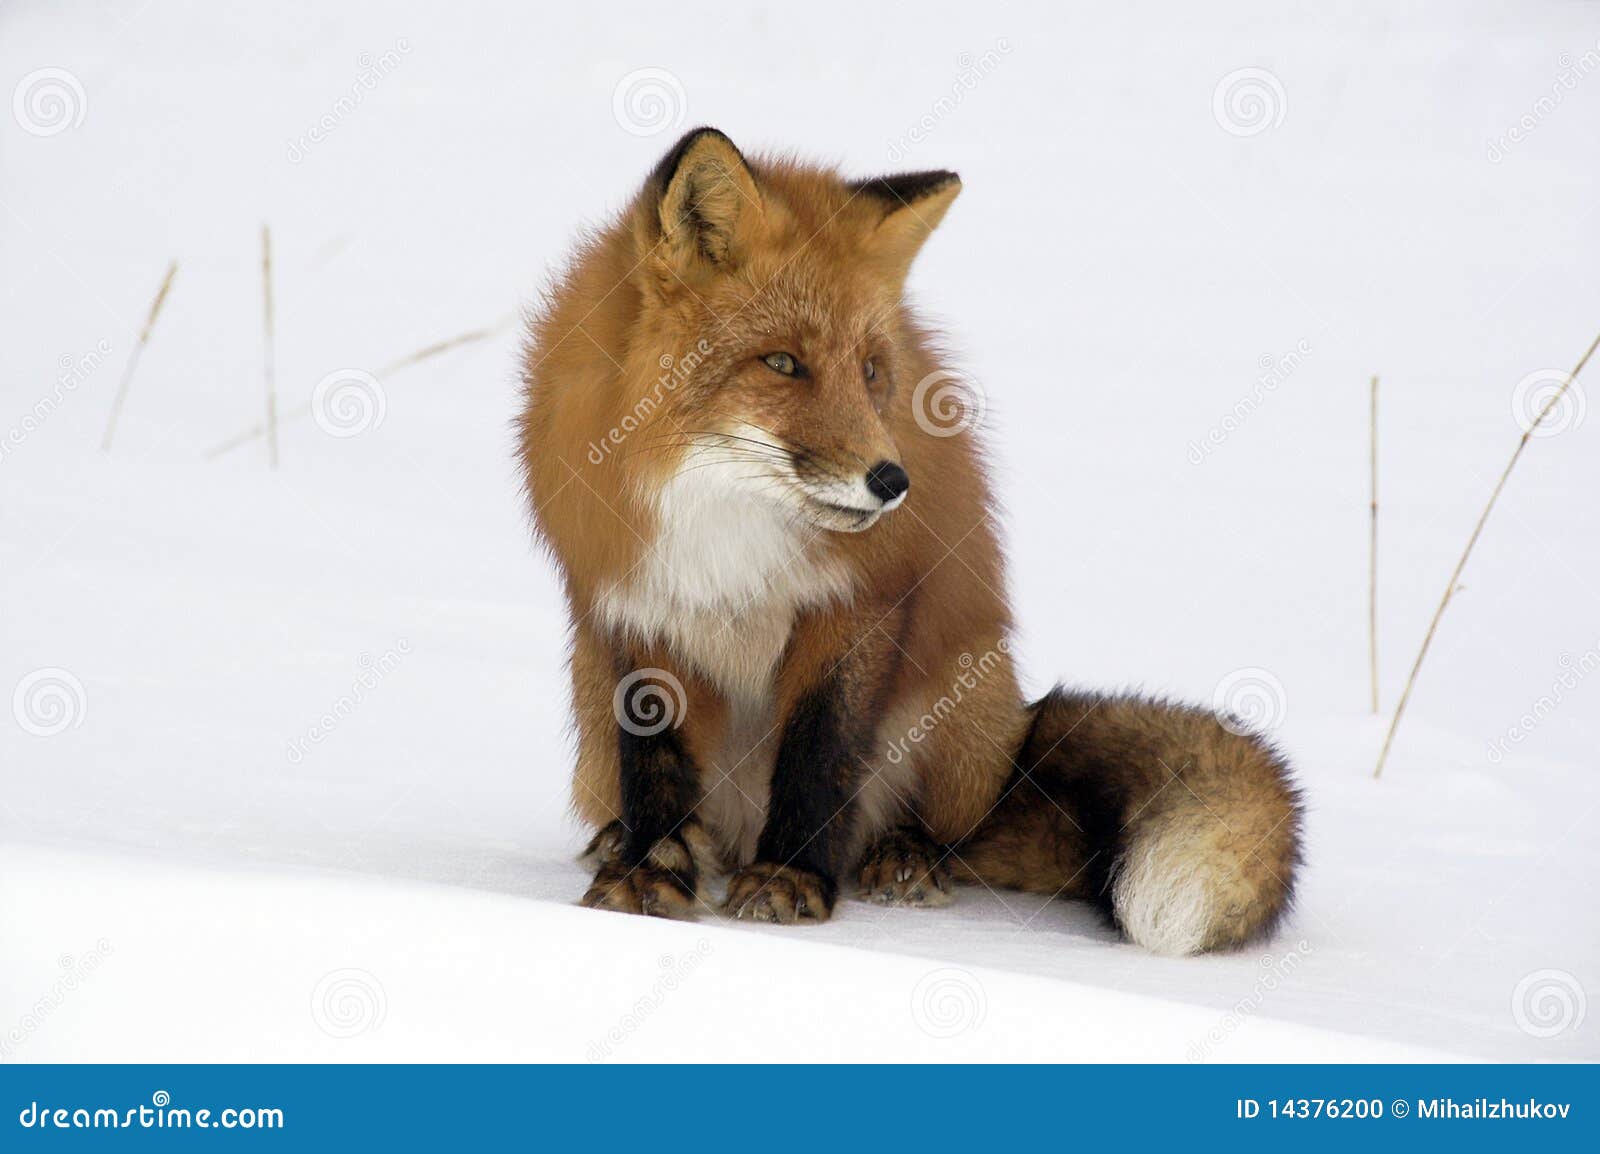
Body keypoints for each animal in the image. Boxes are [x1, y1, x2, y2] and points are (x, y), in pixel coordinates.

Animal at [517, 127, 1302, 955]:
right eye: (782, 362)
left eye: (868, 371)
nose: (892, 482)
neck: (725, 520)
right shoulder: (633, 602)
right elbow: (657, 762)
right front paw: (649, 875)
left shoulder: (862, 602)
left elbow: (820, 754)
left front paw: (791, 877)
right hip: (588, 707)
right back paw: (640, 843)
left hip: (963, 701)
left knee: (947, 830)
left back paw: (905, 856)